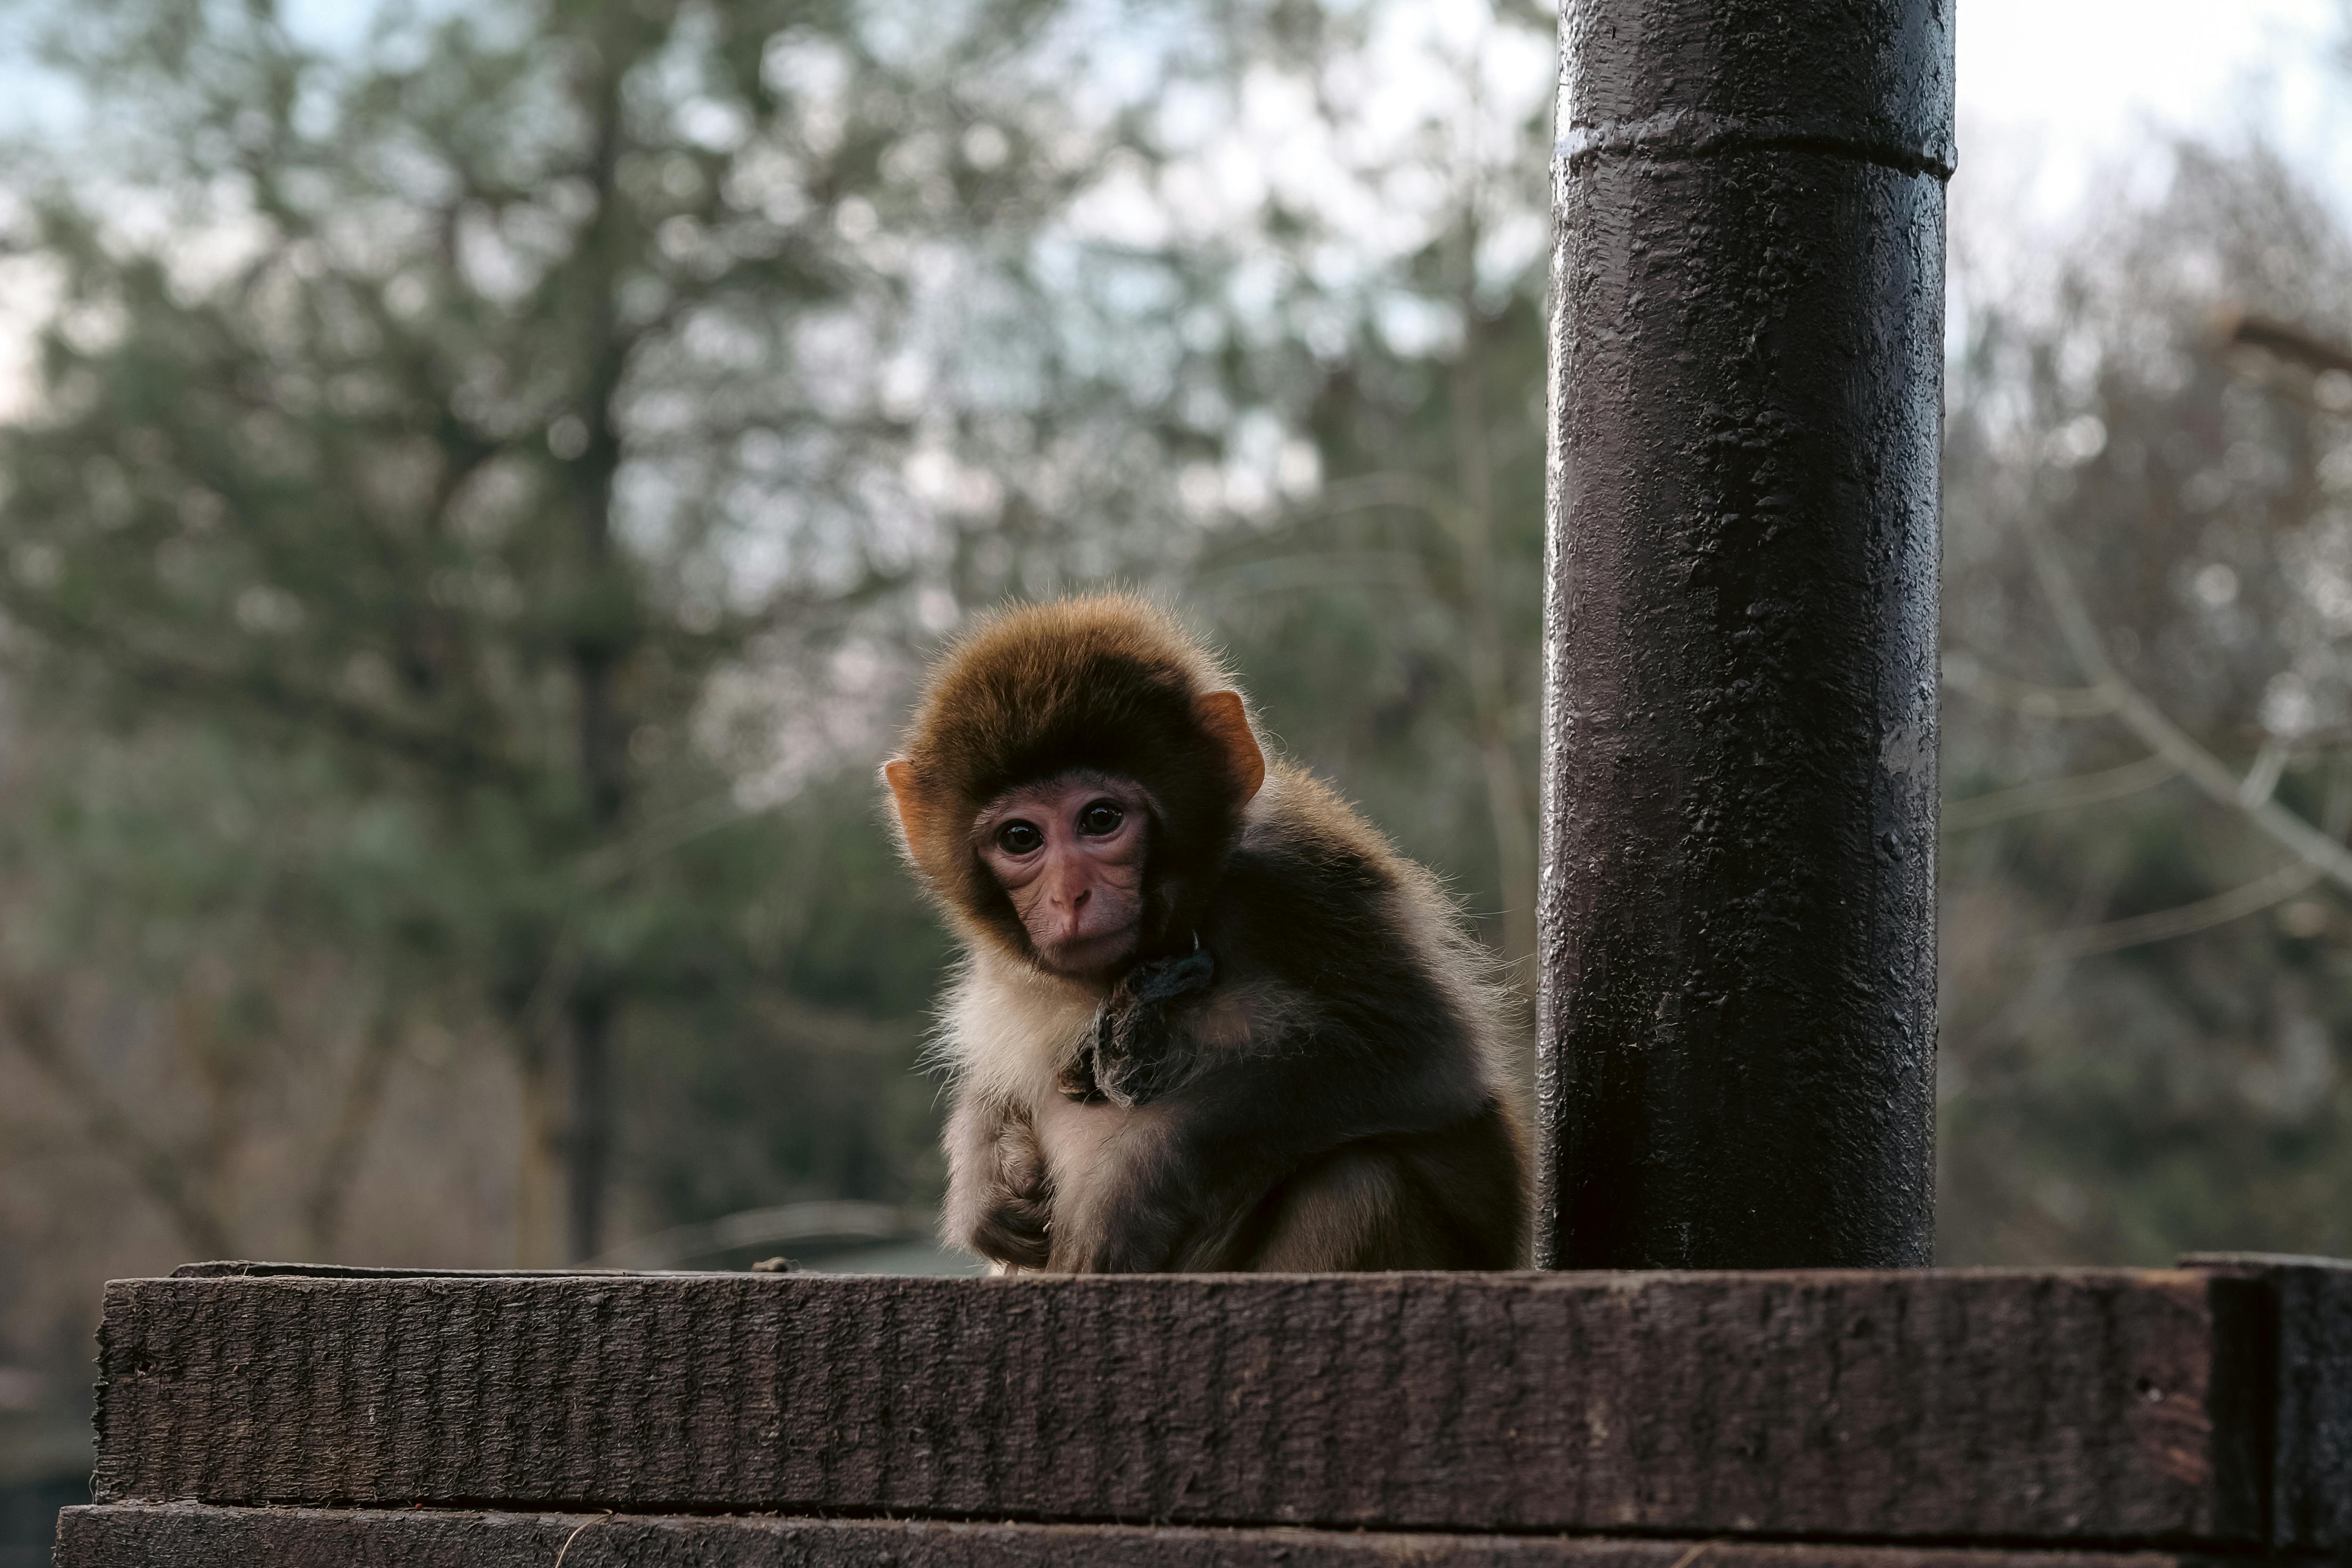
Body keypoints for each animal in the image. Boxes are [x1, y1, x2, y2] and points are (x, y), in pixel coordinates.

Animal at [883, 594, 1527, 1273]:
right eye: (1020, 837)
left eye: (1101, 819)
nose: (1069, 897)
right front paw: (984, 1175)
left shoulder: (1299, 885)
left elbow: (1423, 1057)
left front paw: (1134, 1189)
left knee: (1359, 1185)